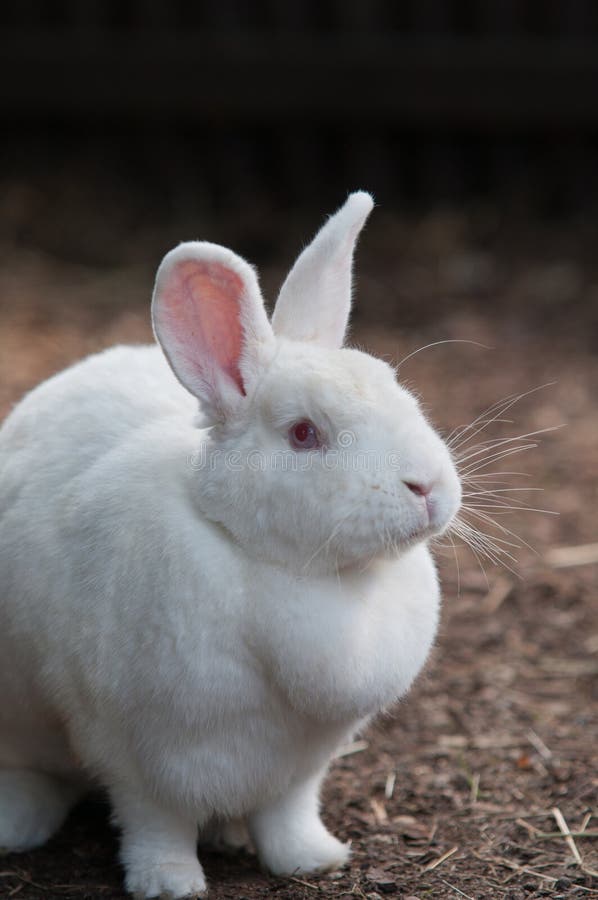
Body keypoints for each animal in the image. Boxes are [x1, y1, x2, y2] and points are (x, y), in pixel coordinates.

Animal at [0, 192, 461, 898]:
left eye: (395, 387)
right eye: (303, 434)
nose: (428, 487)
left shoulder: (301, 764)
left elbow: (287, 814)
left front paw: (313, 860)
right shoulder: (137, 750)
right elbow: (154, 823)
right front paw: (169, 884)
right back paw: (16, 826)